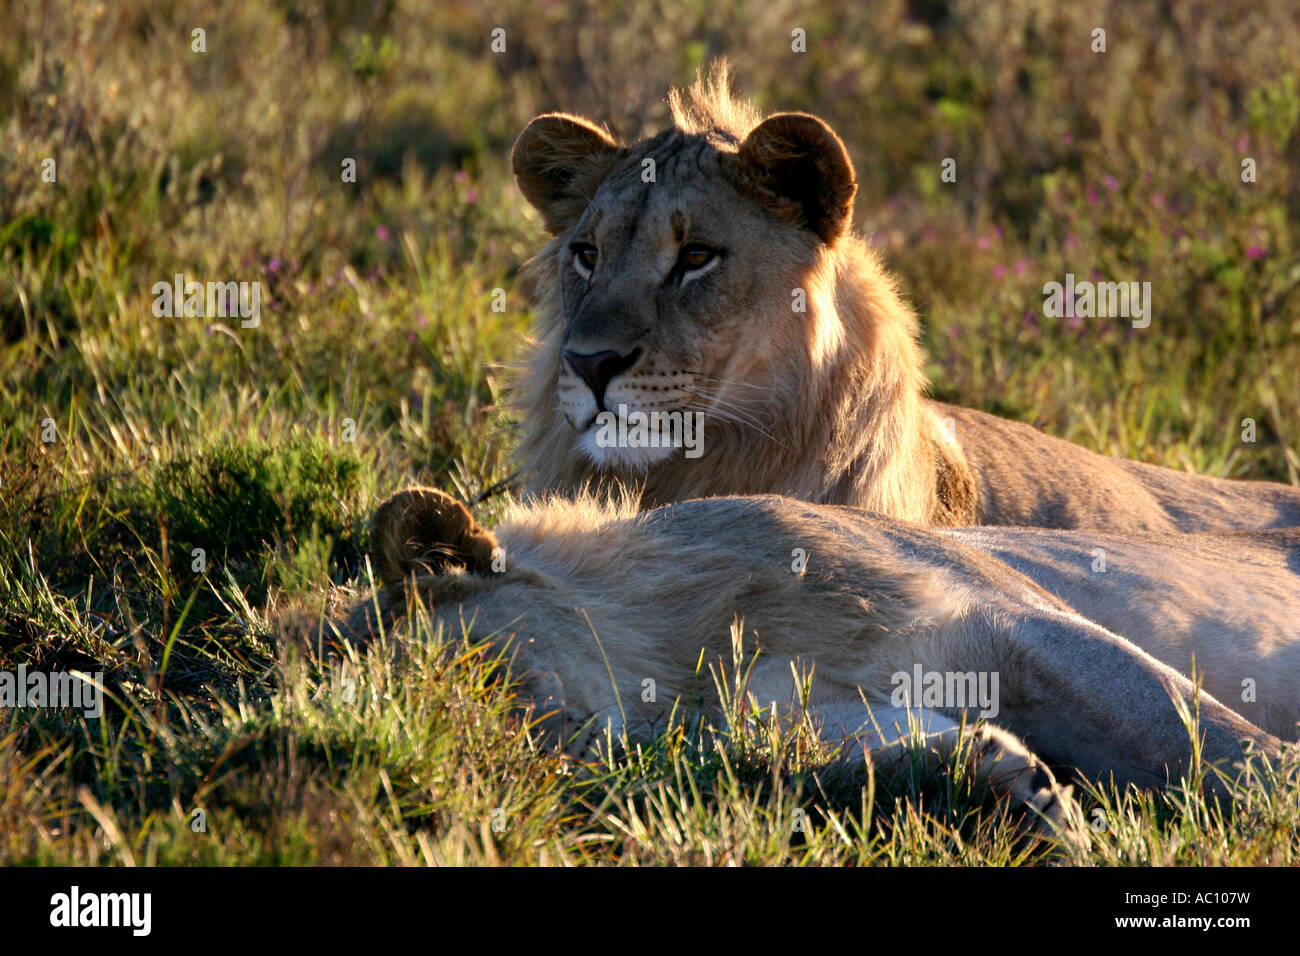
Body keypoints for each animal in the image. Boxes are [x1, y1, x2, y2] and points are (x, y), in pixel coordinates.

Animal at [342, 487, 1298, 844]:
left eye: (476, 680)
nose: (527, 772)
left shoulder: (1008, 622)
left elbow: (1210, 740)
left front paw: (1278, 802)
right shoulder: (792, 709)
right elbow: (881, 756)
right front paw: (1014, 792)